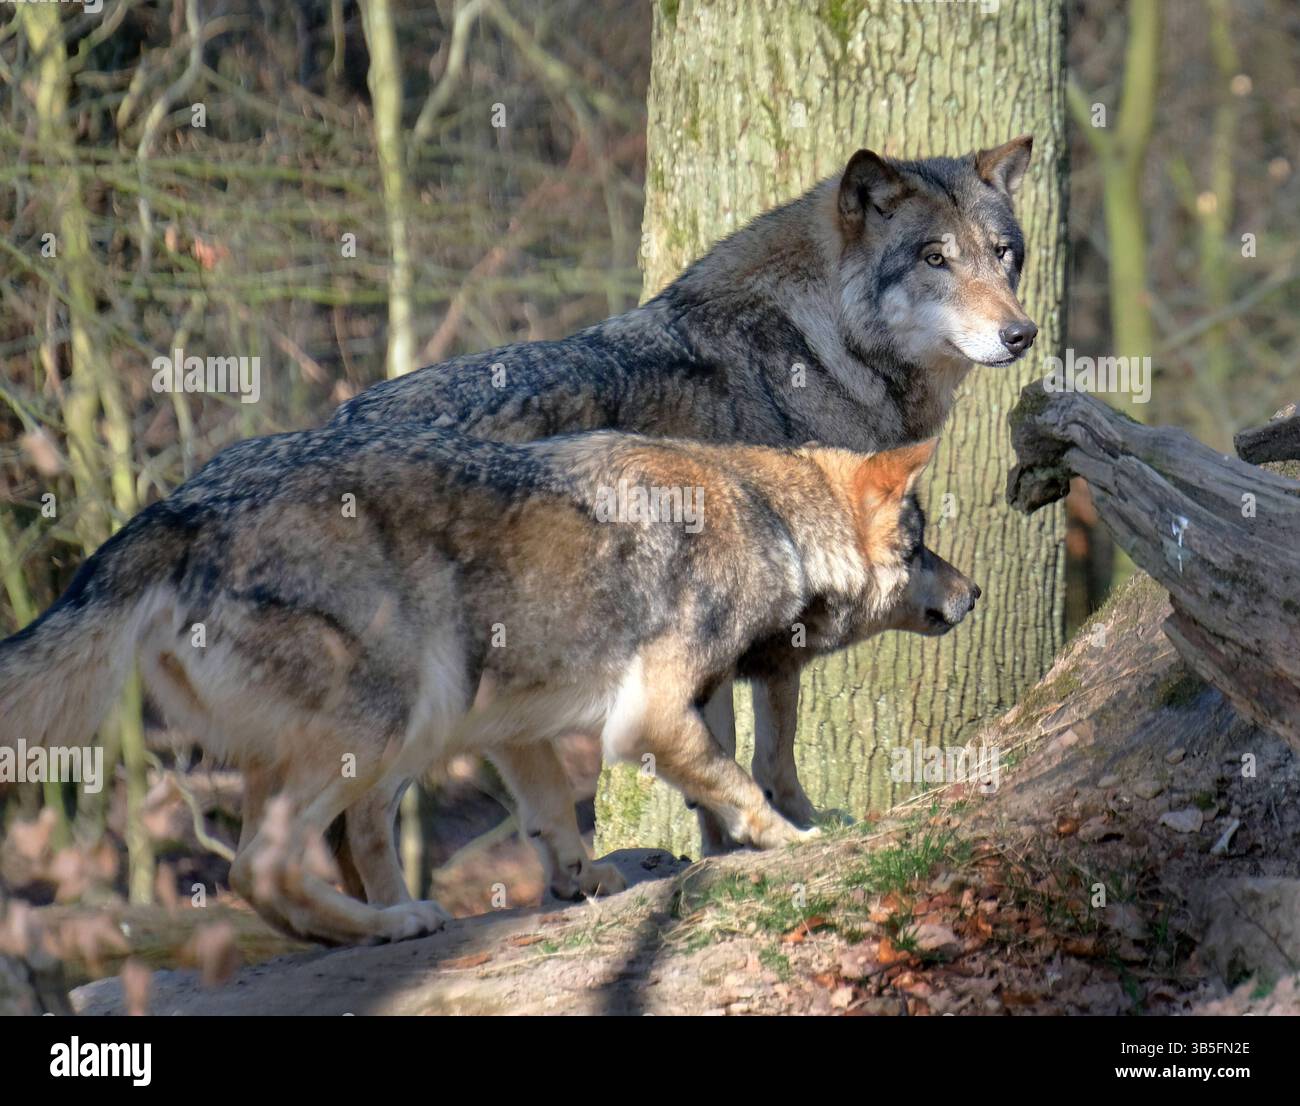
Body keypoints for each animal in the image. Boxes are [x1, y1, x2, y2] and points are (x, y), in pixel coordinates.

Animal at [0, 427, 976, 945]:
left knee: (333, 846)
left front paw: (585, 880)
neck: (771, 518)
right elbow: (740, 788)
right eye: (922, 545)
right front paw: (791, 837)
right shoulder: (651, 719)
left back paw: (374, 918)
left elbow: (554, 821)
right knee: (259, 866)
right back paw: (389, 926)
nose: (973, 593)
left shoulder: (520, 727)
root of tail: (176, 509)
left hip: (401, 725)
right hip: (392, 717)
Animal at [330, 136, 1036, 852]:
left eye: (1002, 254)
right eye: (935, 258)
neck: (820, 347)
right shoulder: (771, 631)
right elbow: (772, 754)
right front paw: (794, 830)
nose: (1022, 334)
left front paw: (721, 851)